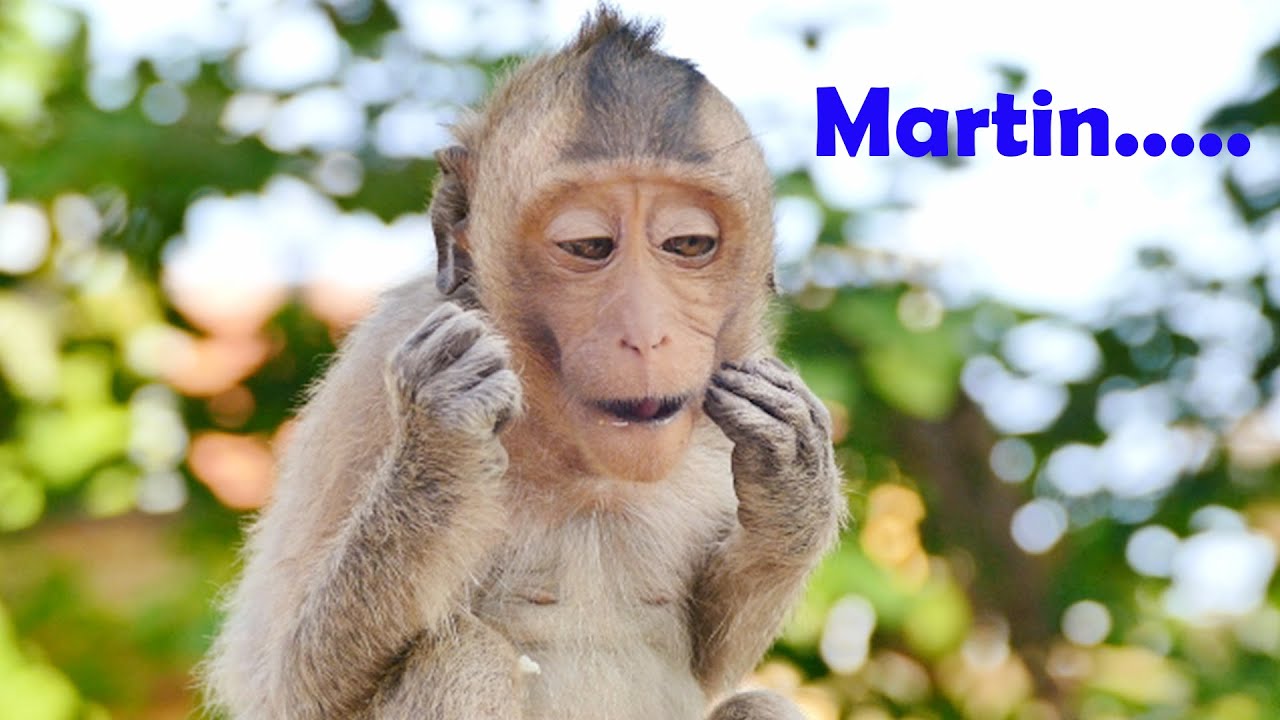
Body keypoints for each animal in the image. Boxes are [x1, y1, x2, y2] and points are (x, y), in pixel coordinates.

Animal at [202, 7, 845, 720]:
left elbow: (716, 655)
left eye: (687, 244)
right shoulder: (376, 367)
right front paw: (441, 443)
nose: (647, 334)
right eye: (588, 246)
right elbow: (283, 678)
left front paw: (793, 479)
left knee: (761, 704)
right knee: (463, 655)